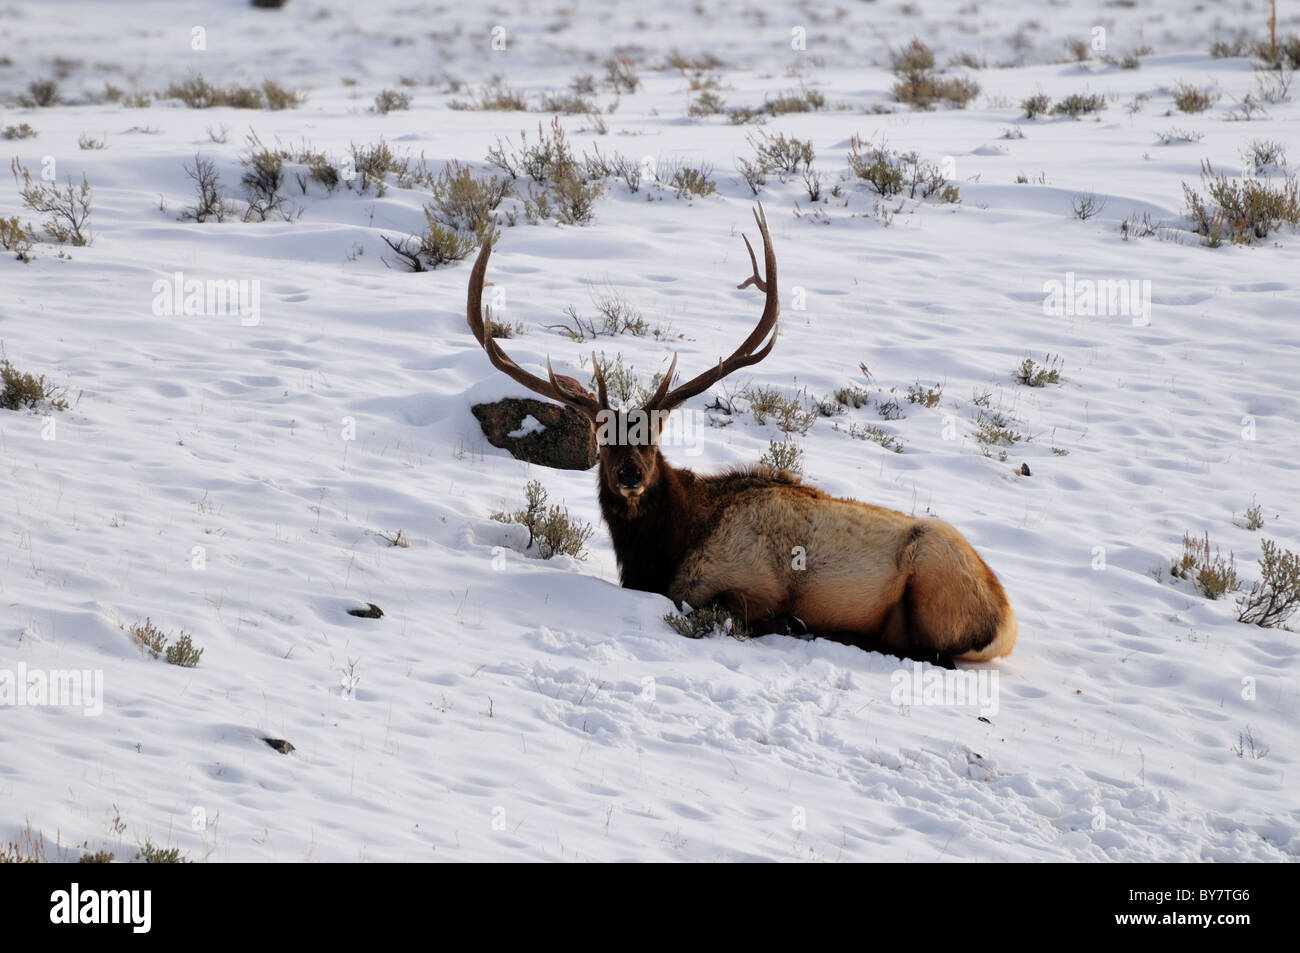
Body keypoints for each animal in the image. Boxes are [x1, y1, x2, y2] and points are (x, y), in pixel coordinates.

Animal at [466, 205, 1017, 666]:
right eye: (604, 439)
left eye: (654, 436)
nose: (630, 474)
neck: (664, 547)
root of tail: (1005, 624)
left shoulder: (743, 584)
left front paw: (791, 622)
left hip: (931, 567)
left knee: (929, 652)